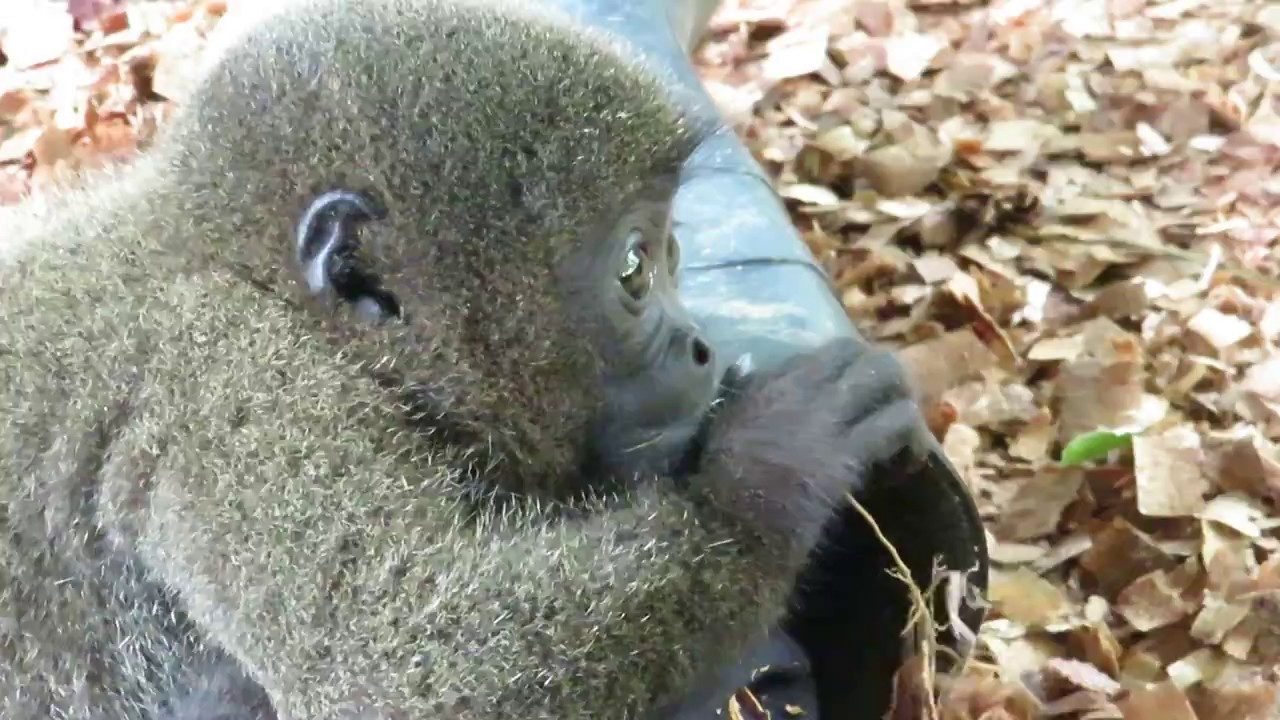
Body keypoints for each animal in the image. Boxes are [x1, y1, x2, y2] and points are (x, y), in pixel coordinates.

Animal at [0, 0, 934, 717]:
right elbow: (404, 670)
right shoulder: (233, 386)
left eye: (677, 253)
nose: (702, 346)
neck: (249, 277)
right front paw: (769, 470)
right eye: (636, 269)